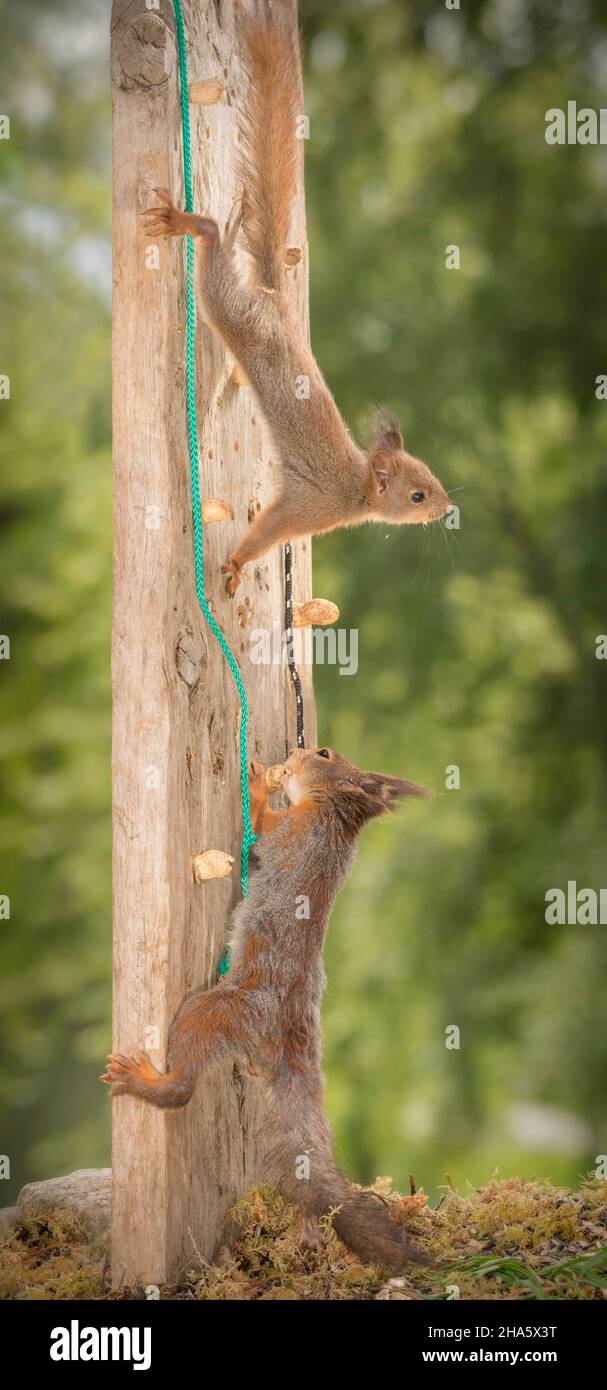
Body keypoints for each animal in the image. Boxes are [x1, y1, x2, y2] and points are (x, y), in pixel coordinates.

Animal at [102, 746, 431, 1271]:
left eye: (324, 754)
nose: (297, 751)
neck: (333, 818)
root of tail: (287, 1044)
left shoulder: (286, 833)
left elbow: (260, 828)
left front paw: (257, 785)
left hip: (209, 1013)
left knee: (182, 1089)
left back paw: (144, 1079)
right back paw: (309, 1234)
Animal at [142, 9, 449, 596]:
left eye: (433, 476)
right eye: (417, 494)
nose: (445, 510)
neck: (357, 488)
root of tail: (275, 301)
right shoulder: (305, 509)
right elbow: (262, 534)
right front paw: (236, 565)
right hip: (226, 307)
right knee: (214, 245)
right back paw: (187, 224)